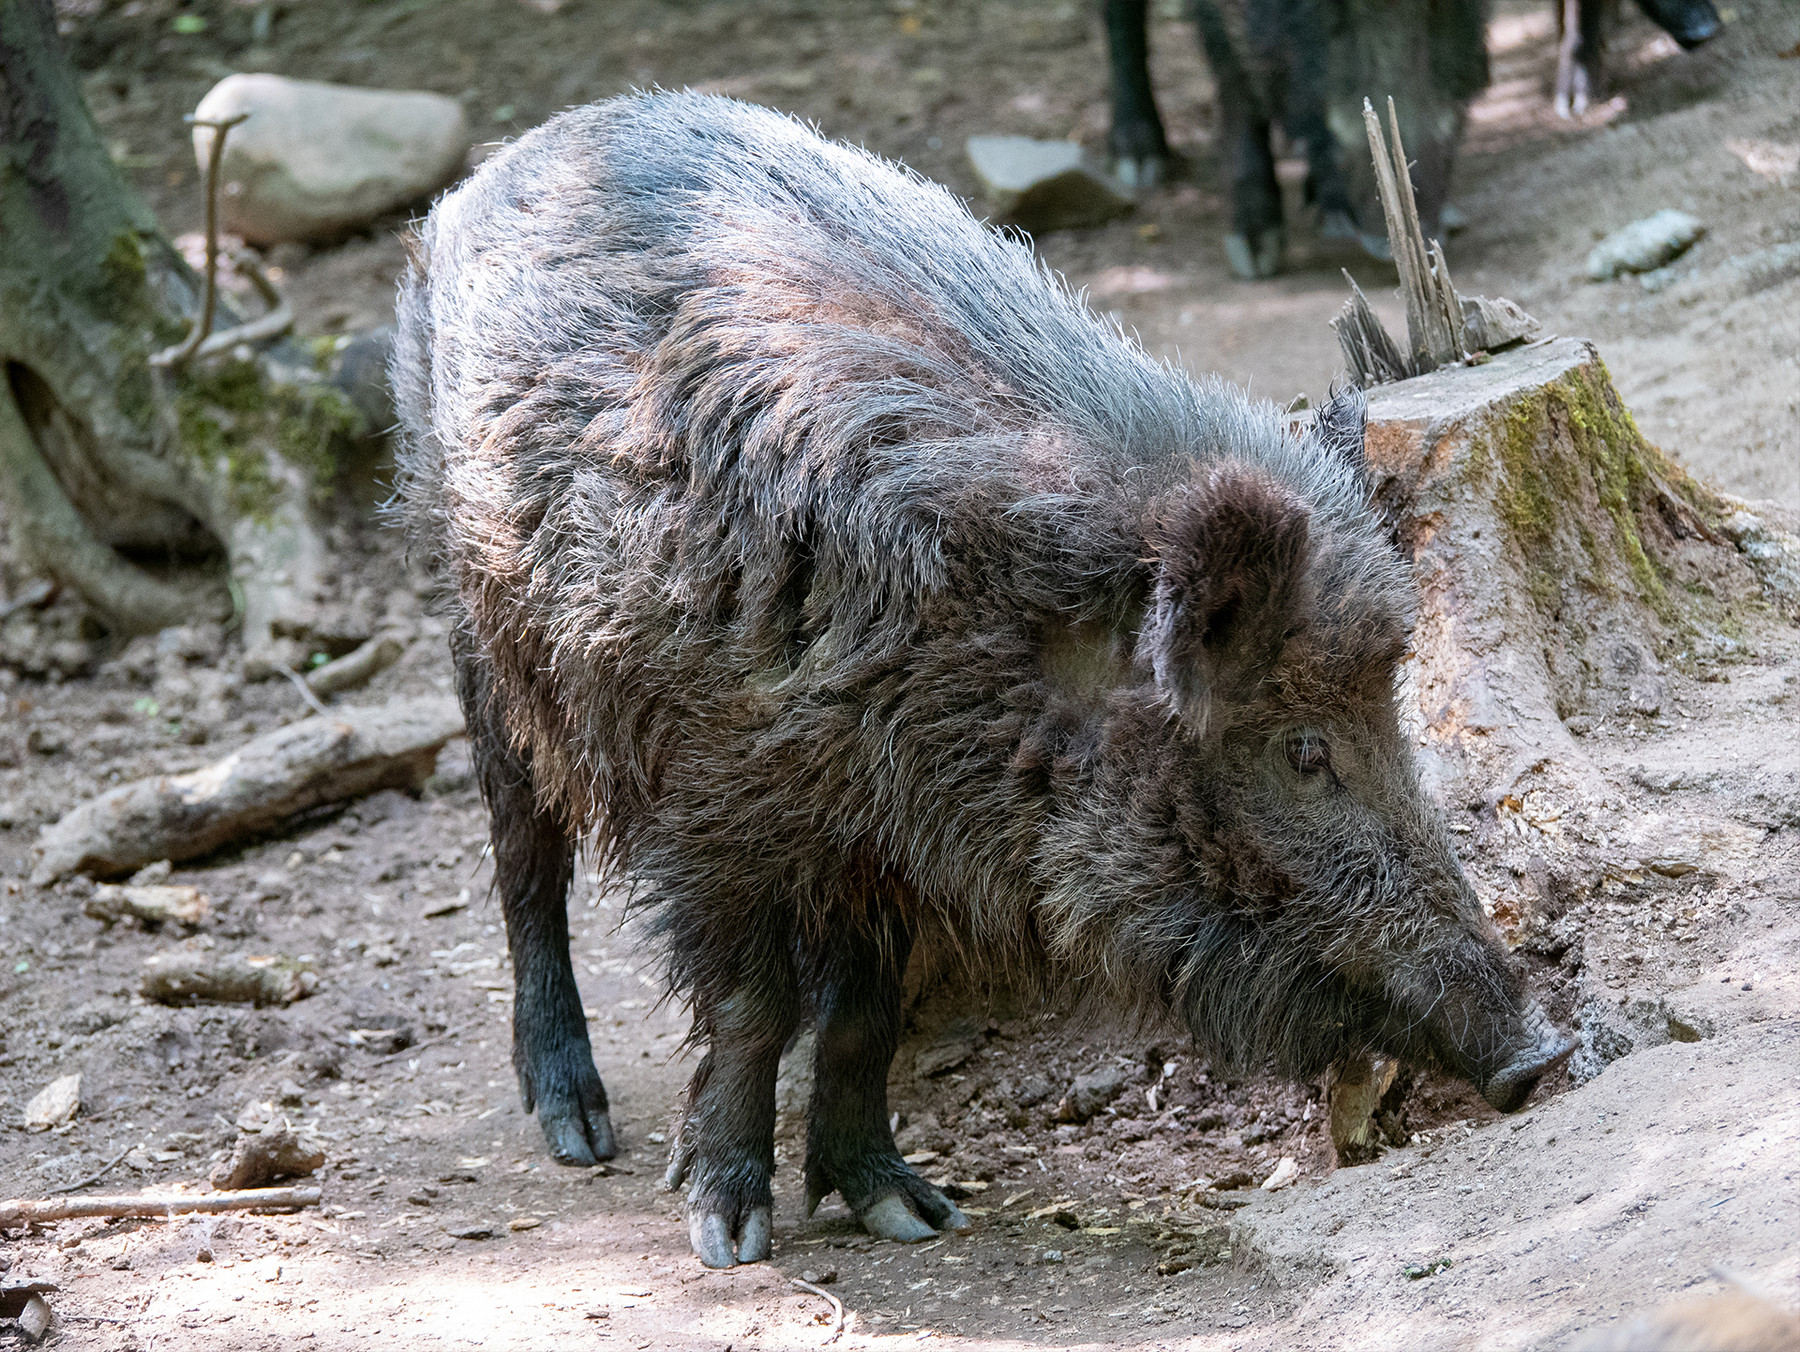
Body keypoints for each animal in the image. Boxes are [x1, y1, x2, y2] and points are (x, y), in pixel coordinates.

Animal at [392, 91, 1574, 1269]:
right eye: (1304, 747)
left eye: (1390, 710)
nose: (1544, 1054)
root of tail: (508, 161)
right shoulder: (717, 802)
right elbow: (751, 1004)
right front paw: (730, 1237)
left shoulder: (891, 844)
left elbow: (863, 1016)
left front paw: (912, 1214)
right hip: (476, 623)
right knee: (524, 862)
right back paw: (576, 1131)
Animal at [1103, 0, 1490, 278]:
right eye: (1333, 10)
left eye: (1439, 8)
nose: (1412, 238)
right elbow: (1234, 70)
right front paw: (1255, 256)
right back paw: (1137, 163)